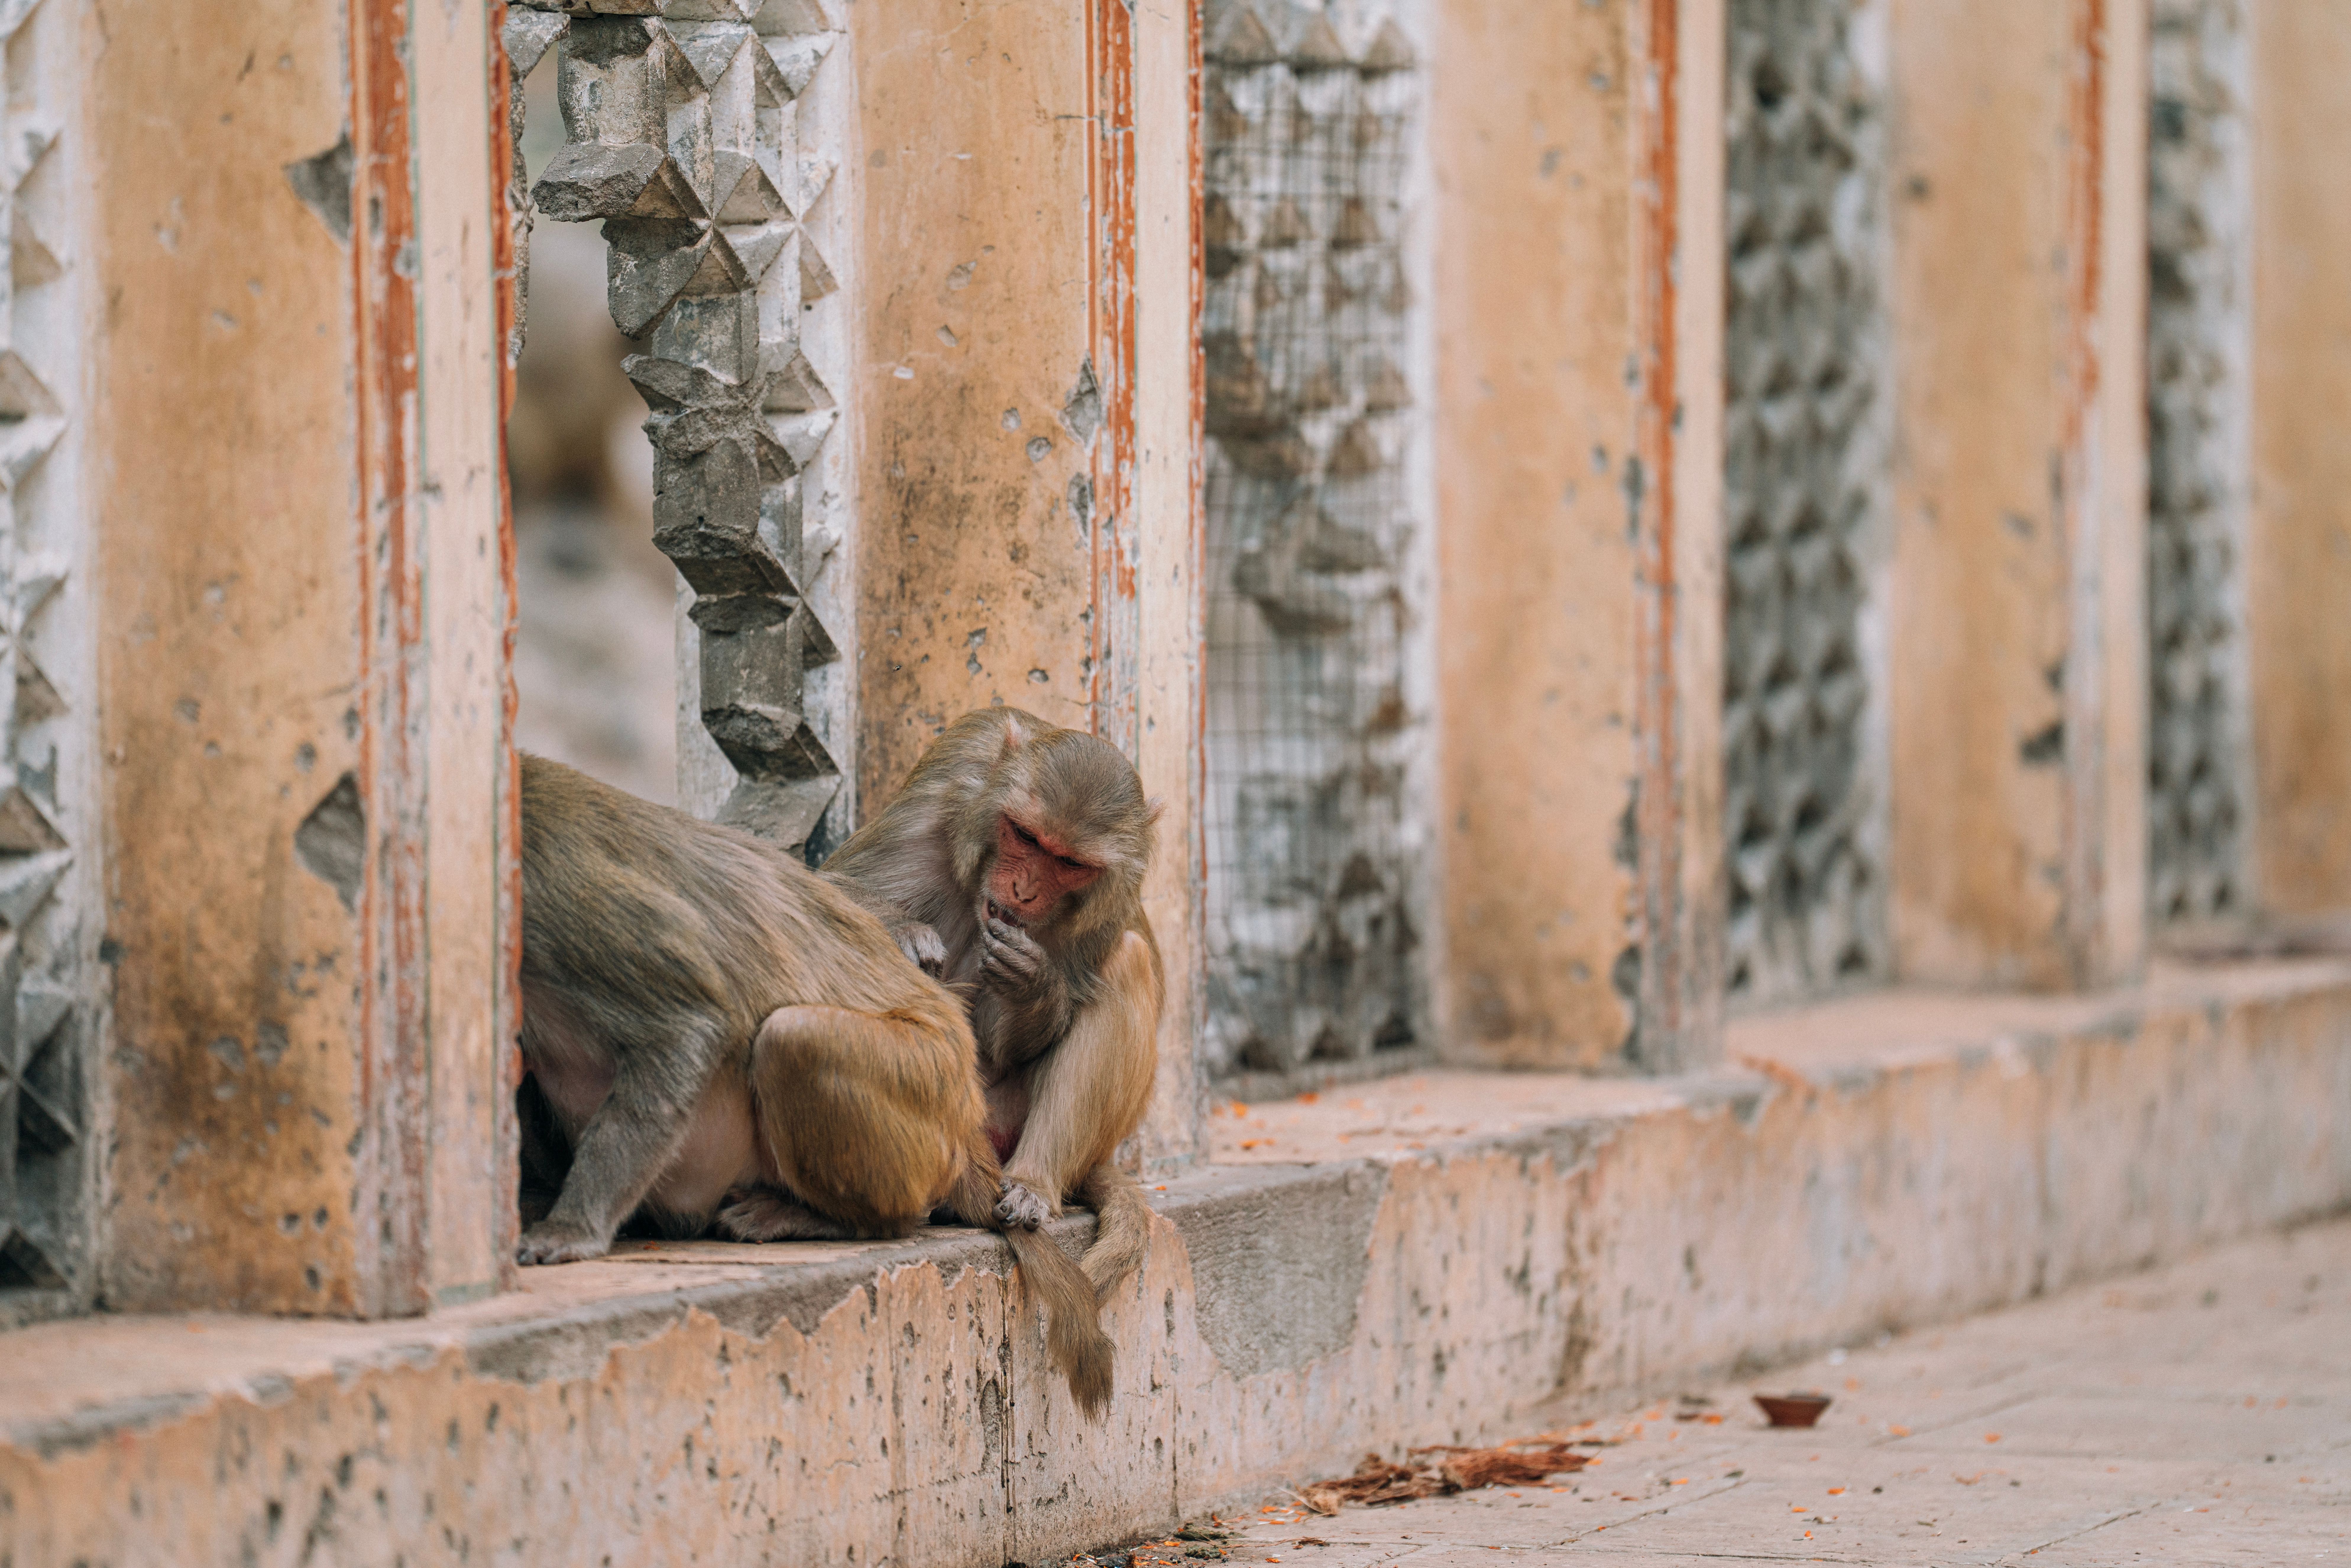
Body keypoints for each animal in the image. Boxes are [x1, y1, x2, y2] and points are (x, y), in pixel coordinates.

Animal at [515, 753, 1114, 1415]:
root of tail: (965, 1129)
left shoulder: (560, 895)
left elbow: (684, 1026)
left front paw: (571, 1231)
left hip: (922, 1103)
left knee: (792, 1040)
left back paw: (838, 1221)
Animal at [820, 707, 1164, 1304]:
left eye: (1069, 862)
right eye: (1025, 836)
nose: (1024, 891)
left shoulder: (1110, 899)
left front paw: (1033, 988)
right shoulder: (948, 781)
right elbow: (825, 885)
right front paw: (905, 933)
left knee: (1129, 958)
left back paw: (1030, 1184)